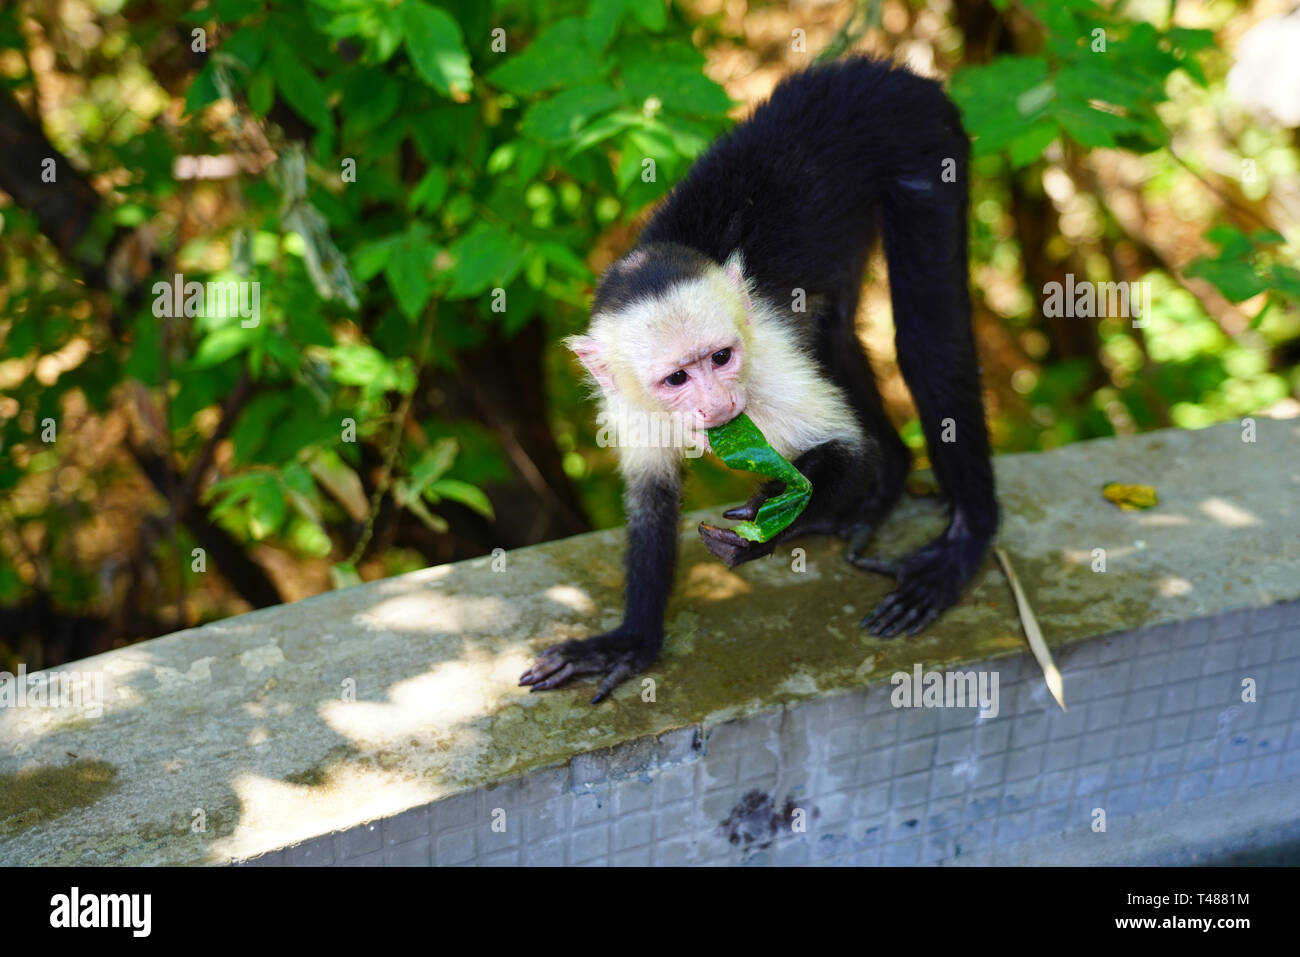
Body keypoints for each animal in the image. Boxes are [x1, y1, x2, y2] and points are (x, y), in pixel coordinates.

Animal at [520, 57, 999, 703]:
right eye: (677, 378)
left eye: (721, 358)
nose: (720, 401)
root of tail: (880, 70)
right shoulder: (628, 401)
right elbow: (651, 503)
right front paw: (631, 642)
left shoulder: (764, 360)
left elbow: (851, 449)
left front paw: (764, 530)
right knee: (835, 328)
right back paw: (881, 489)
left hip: (924, 142)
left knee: (928, 339)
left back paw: (965, 541)